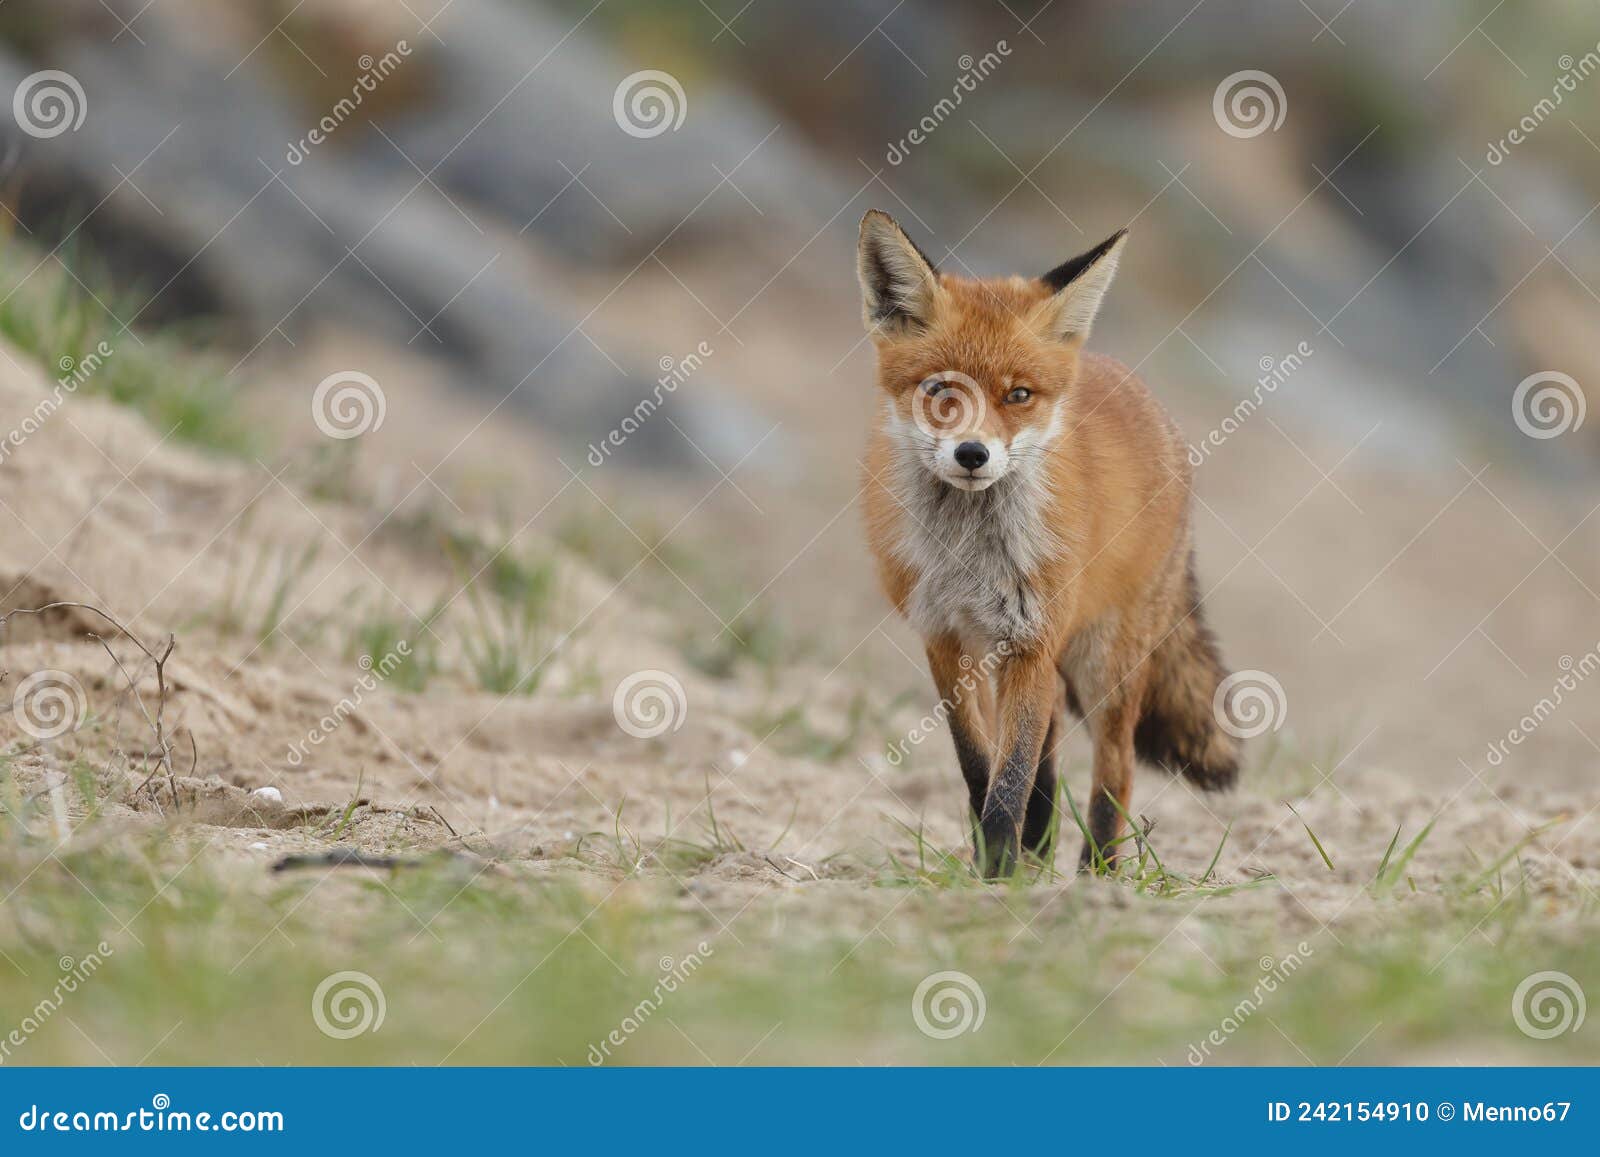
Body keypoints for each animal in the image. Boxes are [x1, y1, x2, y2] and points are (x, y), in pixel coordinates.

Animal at [857, 209, 1240, 878]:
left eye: (1018, 395)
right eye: (940, 390)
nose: (973, 454)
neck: (970, 554)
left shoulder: (1030, 643)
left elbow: (1009, 780)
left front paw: (997, 874)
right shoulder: (946, 639)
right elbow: (981, 766)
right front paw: (998, 865)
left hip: (1105, 661)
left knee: (1115, 770)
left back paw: (1096, 877)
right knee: (1052, 758)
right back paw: (1039, 852)